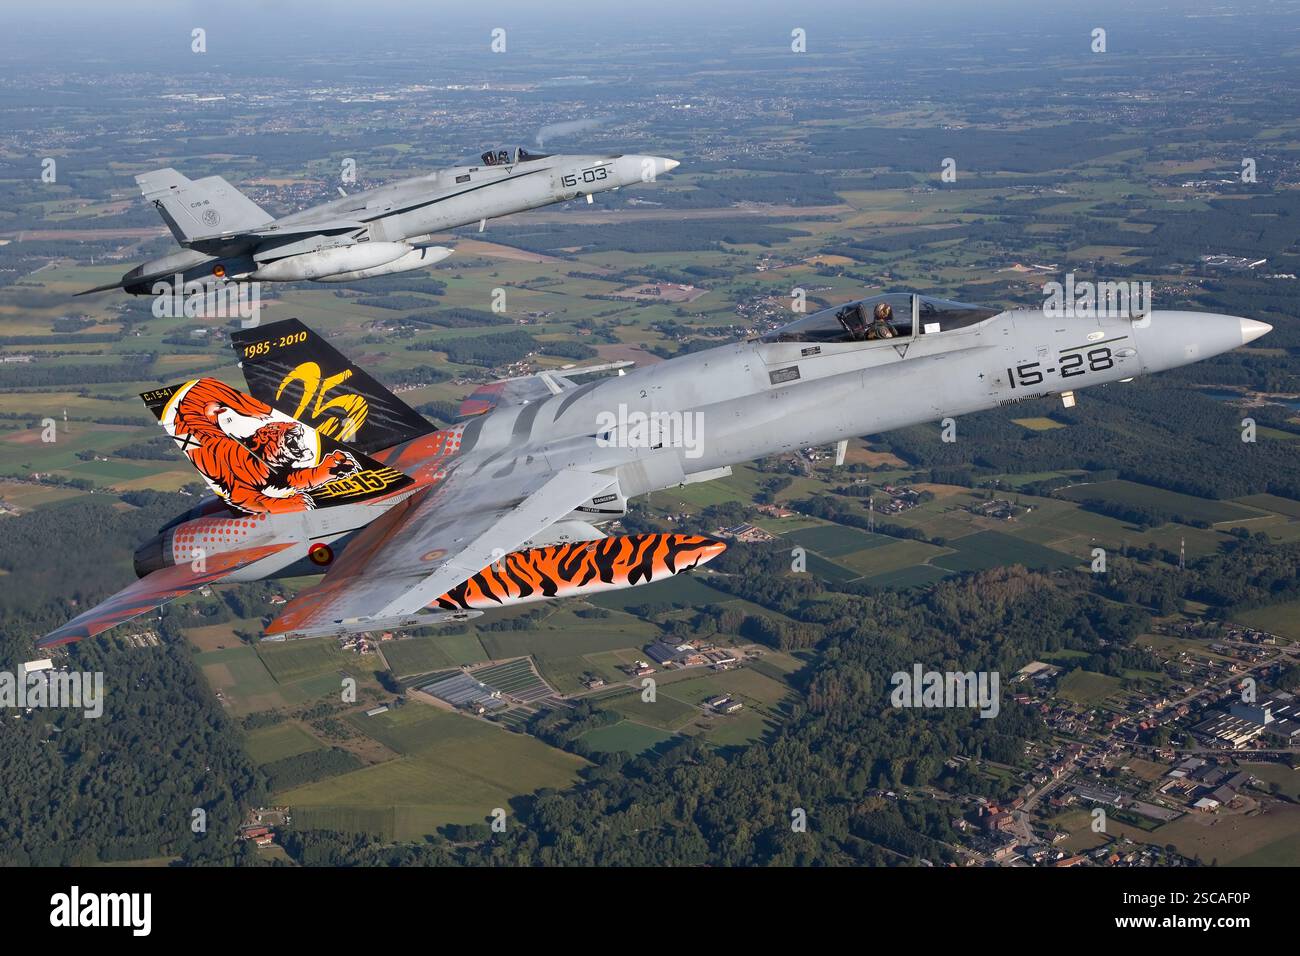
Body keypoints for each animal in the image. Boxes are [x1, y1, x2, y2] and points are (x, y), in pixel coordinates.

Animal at [171, 378, 359, 514]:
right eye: (273, 429)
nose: (296, 426)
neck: (260, 459)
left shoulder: (284, 475)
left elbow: (306, 474)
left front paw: (336, 463)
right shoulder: (240, 490)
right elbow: (262, 499)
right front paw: (297, 501)